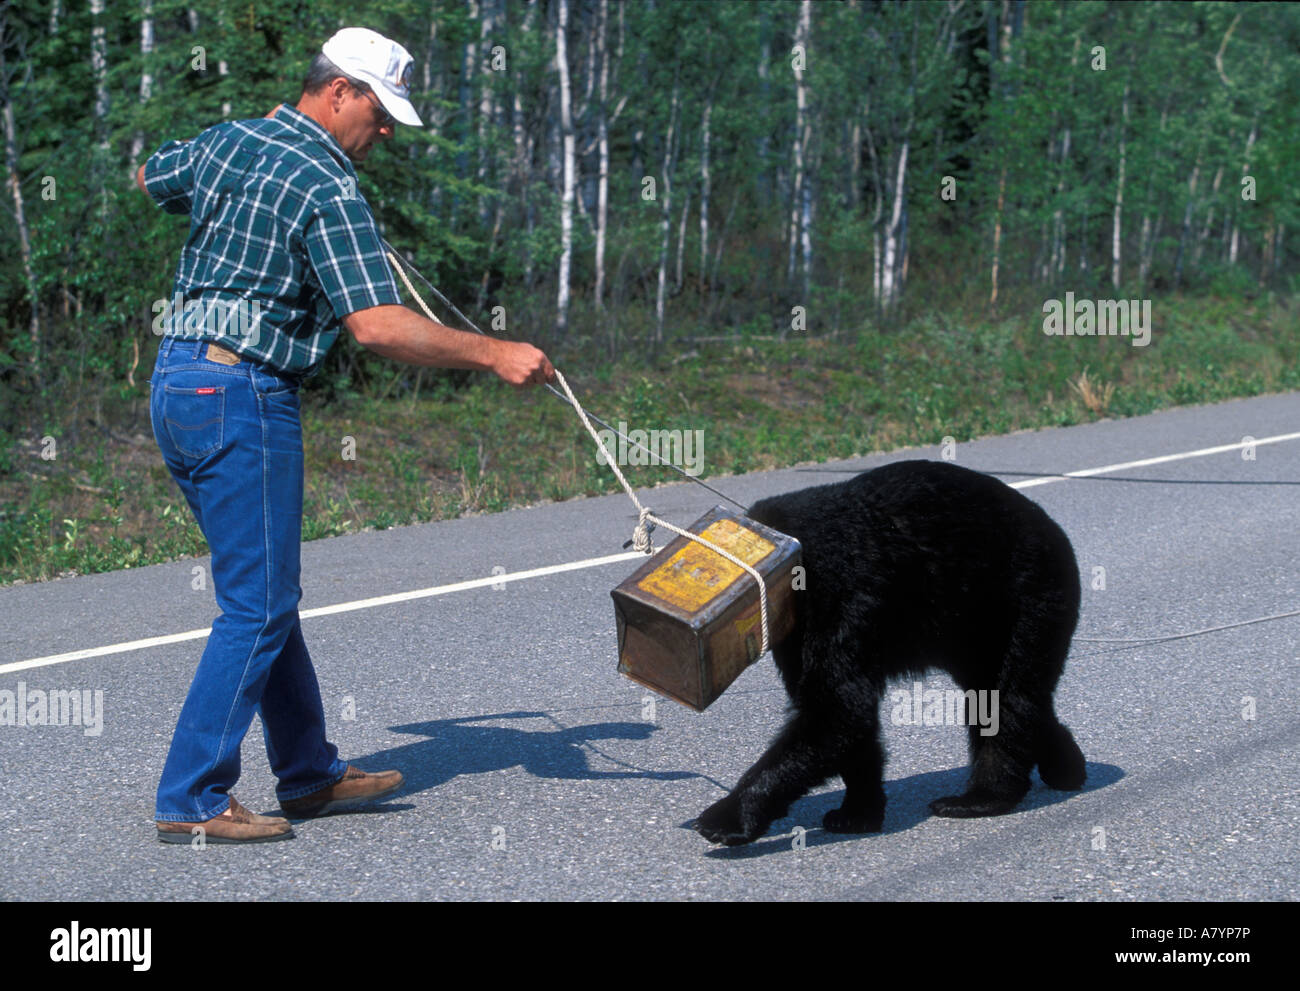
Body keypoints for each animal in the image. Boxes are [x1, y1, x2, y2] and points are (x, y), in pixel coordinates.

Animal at [693, 459, 1086, 846]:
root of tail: (1053, 529)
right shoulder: (796, 634)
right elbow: (842, 715)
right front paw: (857, 812)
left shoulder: (844, 597)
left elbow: (837, 709)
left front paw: (725, 818)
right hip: (973, 632)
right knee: (1000, 694)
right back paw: (1066, 765)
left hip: (1026, 598)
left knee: (1005, 696)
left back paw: (980, 798)